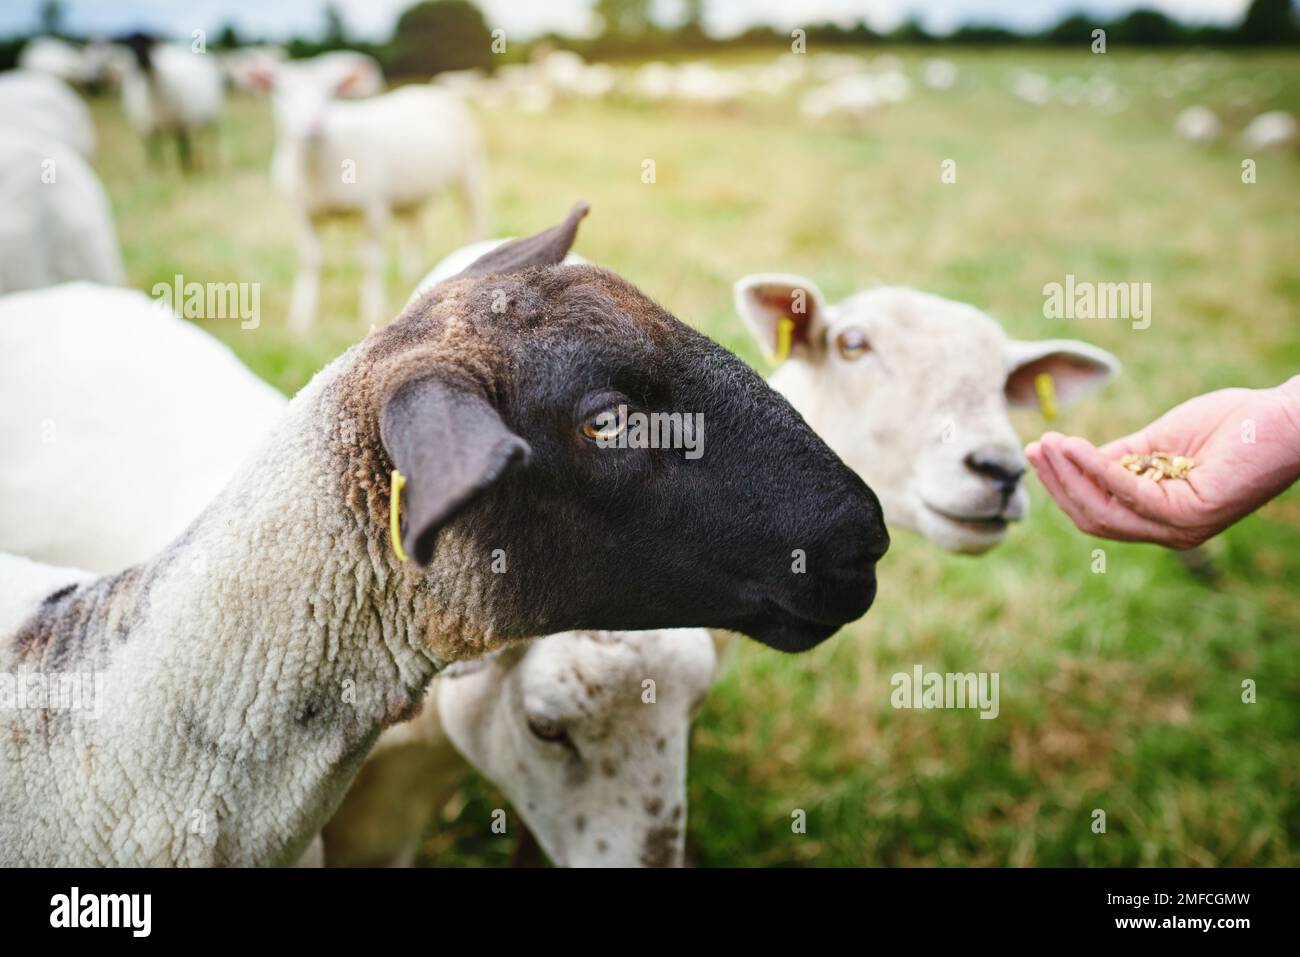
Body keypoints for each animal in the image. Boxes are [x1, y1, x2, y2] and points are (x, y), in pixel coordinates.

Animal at [261, 64, 487, 332]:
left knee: (472, 217)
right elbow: (310, 261)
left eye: (331, 91)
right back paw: (411, 272)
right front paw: (301, 320)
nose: (313, 126)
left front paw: (370, 311)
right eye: (281, 91)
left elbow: (370, 261)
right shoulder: (304, 213)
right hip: (411, 193)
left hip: (468, 172)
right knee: (415, 229)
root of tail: (426, 88)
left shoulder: (373, 207)